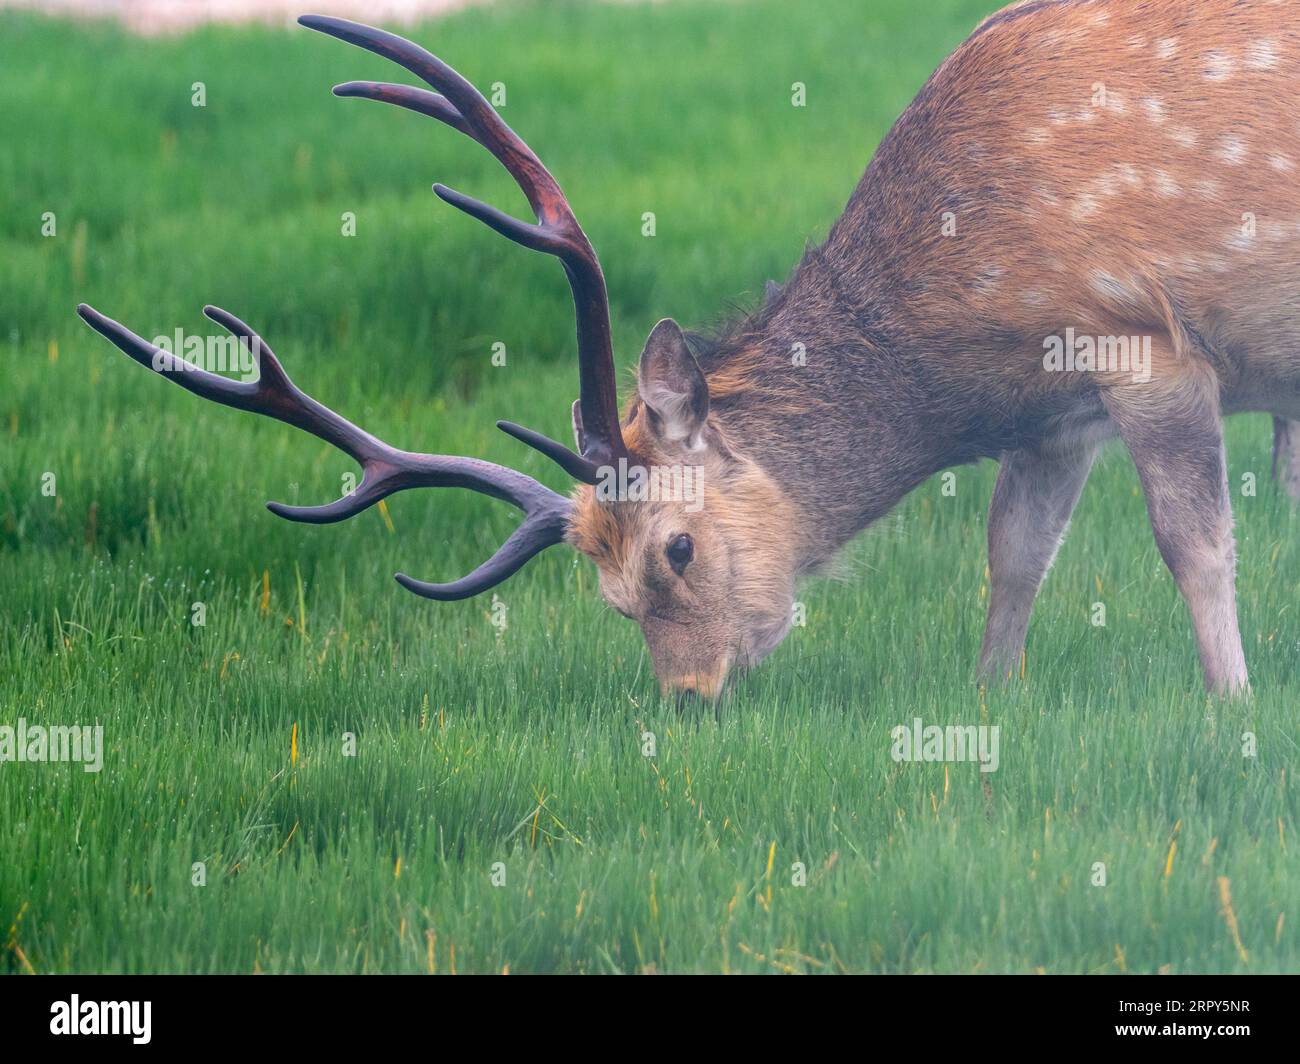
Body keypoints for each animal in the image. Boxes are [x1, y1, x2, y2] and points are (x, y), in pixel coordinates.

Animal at [79, 3, 1299, 699]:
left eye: (675, 549)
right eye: (607, 597)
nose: (689, 696)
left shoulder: (1140, 337)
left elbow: (1195, 545)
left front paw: (1231, 708)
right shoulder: (1050, 415)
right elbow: (1014, 559)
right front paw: (989, 699)